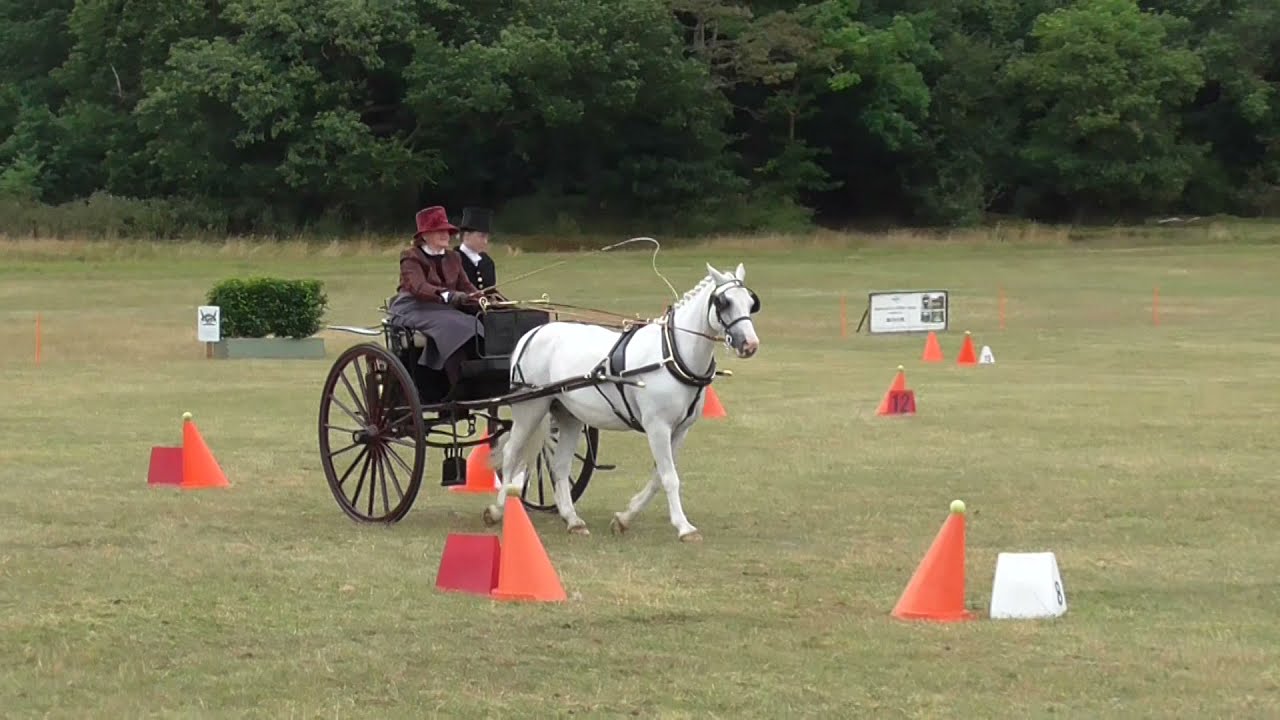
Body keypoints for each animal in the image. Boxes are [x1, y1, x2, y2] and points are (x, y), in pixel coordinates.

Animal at [481, 262, 762, 541]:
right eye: (724, 302)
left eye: (750, 302)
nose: (750, 345)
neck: (671, 354)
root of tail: (533, 332)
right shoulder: (657, 427)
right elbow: (669, 477)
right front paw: (684, 527)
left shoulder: (680, 430)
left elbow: (659, 476)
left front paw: (625, 517)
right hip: (531, 408)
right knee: (511, 453)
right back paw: (498, 510)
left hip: (568, 415)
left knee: (559, 466)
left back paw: (572, 520)